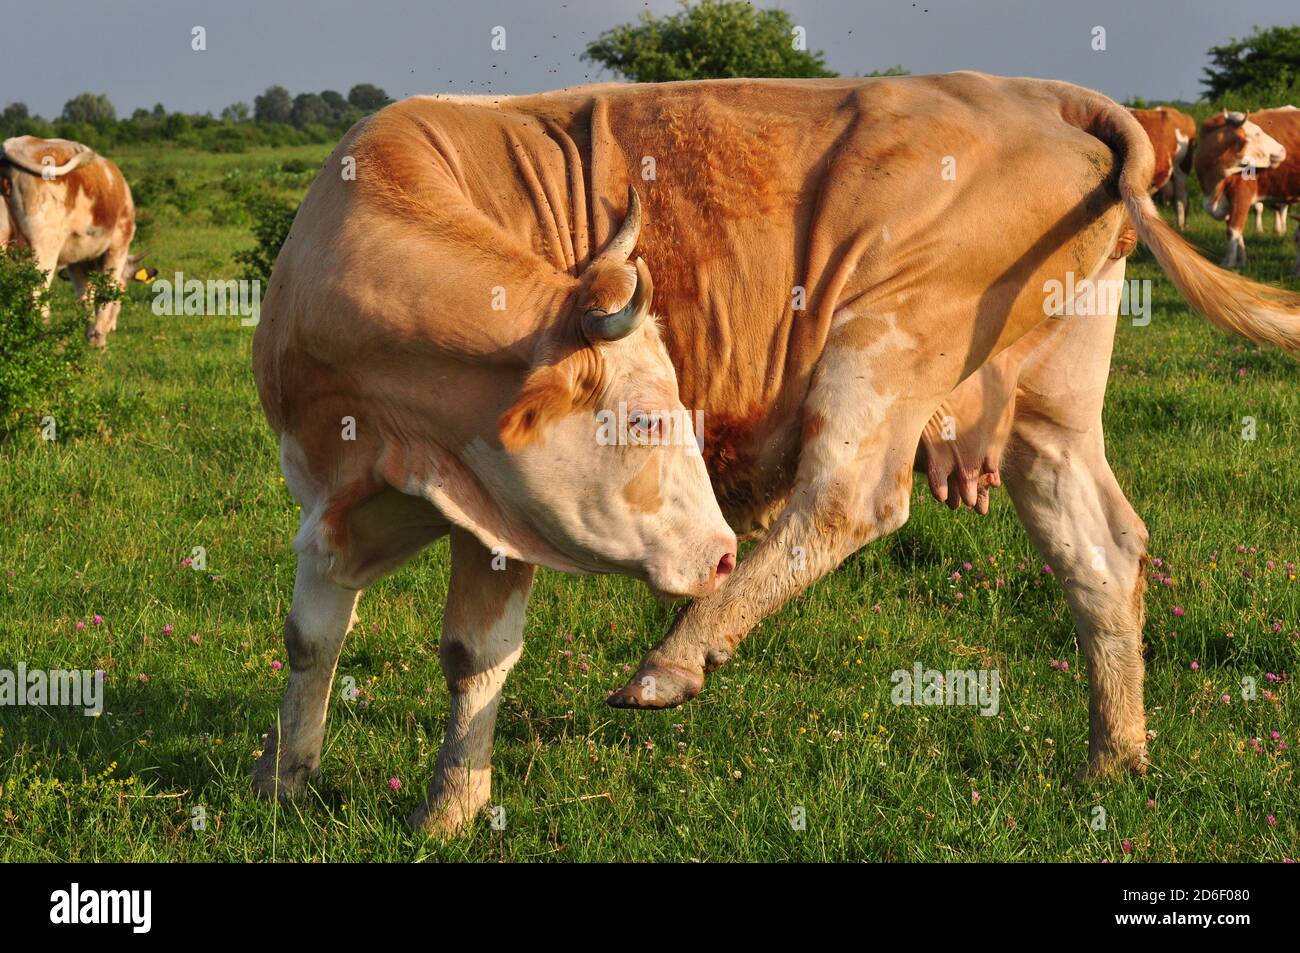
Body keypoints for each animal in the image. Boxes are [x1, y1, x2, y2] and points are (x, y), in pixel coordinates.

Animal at [0, 136, 138, 346]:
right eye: (123, 289)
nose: (112, 328)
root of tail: (15, 144)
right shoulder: (118, 246)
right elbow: (105, 292)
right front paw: (99, 339)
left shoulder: (76, 260)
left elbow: (84, 297)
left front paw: (90, 336)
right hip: (44, 249)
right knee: (37, 297)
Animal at [1195, 108, 1299, 272]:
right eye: (1257, 133)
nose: (1283, 150)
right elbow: (1236, 230)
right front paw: (1241, 261)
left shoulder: (1241, 195)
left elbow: (1233, 230)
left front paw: (1228, 263)